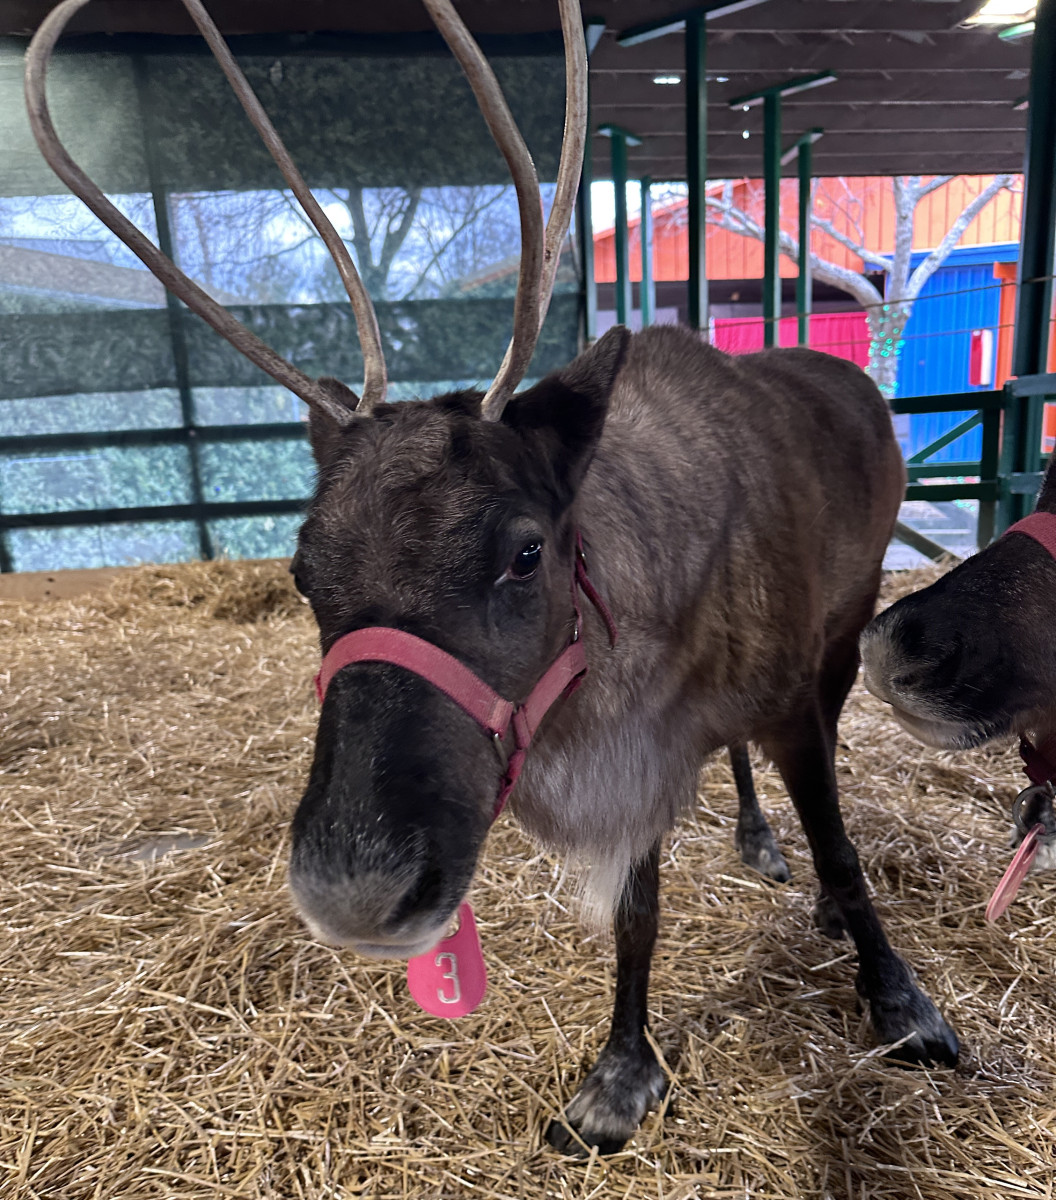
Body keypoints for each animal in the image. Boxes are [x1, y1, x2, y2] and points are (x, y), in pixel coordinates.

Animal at [27, 0, 959, 1156]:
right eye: (300, 571)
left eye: (525, 551)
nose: (356, 894)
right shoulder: (637, 758)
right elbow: (637, 916)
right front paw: (620, 1072)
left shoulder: (775, 697)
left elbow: (838, 846)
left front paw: (901, 1001)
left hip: (851, 608)